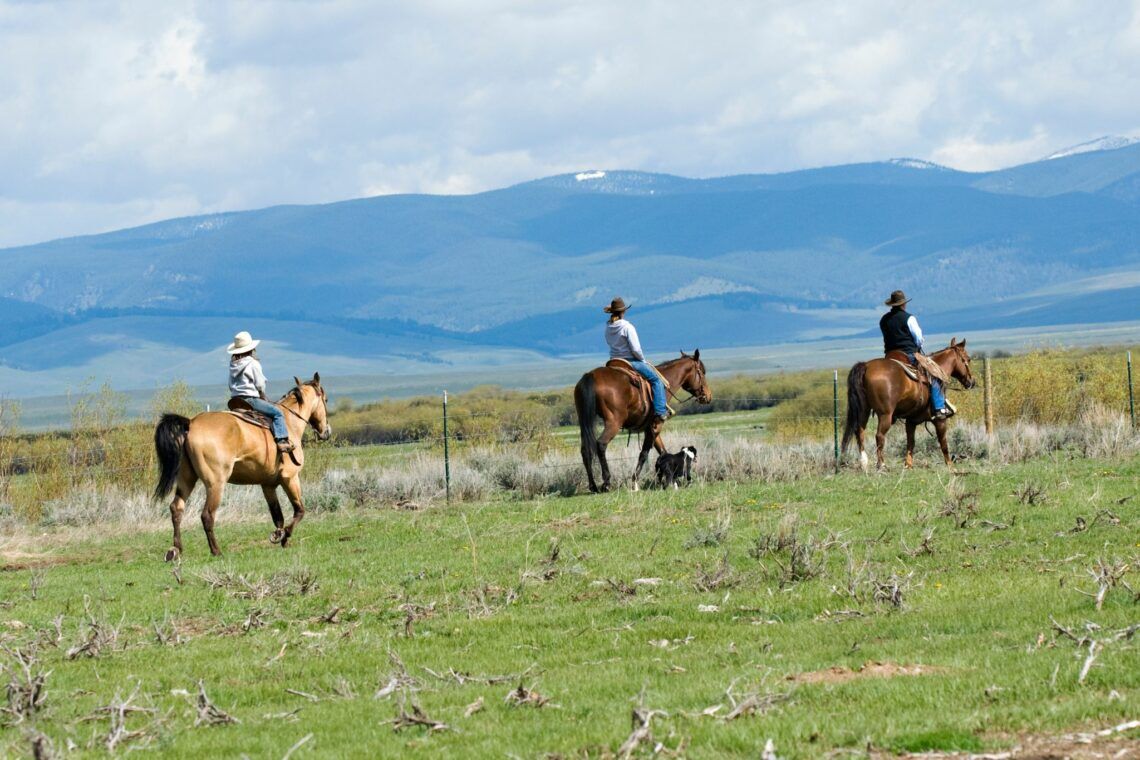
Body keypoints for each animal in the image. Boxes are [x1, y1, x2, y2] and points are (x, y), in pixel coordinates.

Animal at [153, 374, 331, 560]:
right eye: (326, 399)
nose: (326, 432)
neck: (290, 423)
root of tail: (190, 424)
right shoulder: (290, 477)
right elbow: (299, 510)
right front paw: (285, 536)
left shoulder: (268, 485)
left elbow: (278, 516)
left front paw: (280, 537)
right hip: (215, 484)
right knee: (207, 515)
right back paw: (216, 551)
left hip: (186, 480)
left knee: (176, 509)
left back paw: (176, 550)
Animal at [574, 350, 712, 492]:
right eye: (702, 372)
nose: (708, 396)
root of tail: (590, 375)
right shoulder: (656, 426)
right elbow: (644, 454)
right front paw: (635, 482)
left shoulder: (651, 427)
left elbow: (662, 451)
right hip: (614, 422)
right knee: (601, 444)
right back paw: (606, 482)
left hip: (584, 422)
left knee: (585, 450)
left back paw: (593, 486)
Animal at [842, 339, 975, 471]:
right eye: (968, 359)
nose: (972, 382)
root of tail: (866, 366)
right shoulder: (940, 420)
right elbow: (943, 442)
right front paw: (950, 465)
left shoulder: (911, 421)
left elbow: (910, 442)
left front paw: (908, 464)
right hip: (885, 415)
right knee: (879, 436)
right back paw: (881, 465)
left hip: (864, 410)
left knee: (859, 431)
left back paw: (864, 462)